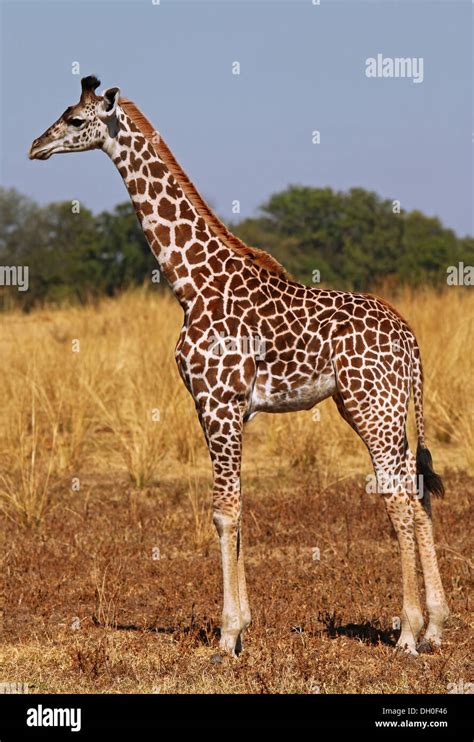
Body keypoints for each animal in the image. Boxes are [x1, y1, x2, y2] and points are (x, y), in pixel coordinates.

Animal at [29, 76, 449, 657]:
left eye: (73, 119)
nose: (35, 146)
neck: (190, 284)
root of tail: (410, 339)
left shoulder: (218, 403)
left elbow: (223, 511)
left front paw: (227, 637)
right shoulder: (227, 410)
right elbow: (240, 509)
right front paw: (243, 629)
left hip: (373, 407)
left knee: (399, 499)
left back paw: (407, 631)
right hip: (380, 408)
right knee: (417, 490)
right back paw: (434, 626)